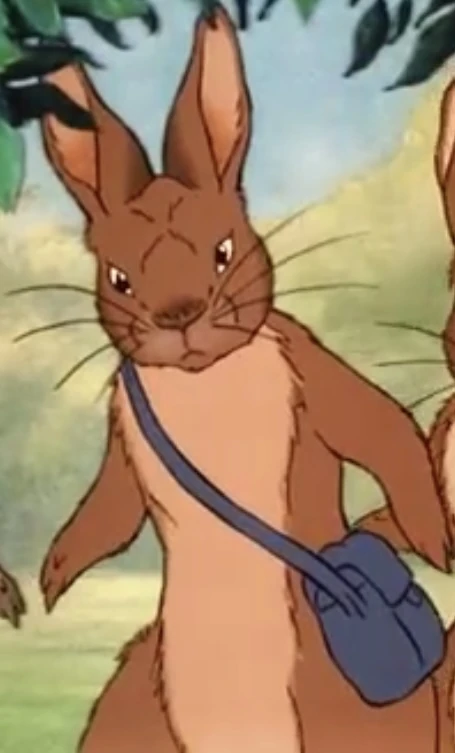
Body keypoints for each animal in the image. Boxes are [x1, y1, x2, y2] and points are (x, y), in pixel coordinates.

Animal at [36, 5, 455, 753]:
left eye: (224, 251)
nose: (179, 315)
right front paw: (54, 577)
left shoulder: (313, 376)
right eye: (118, 278)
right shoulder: (124, 432)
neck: (204, 382)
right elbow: (107, 506)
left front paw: (437, 539)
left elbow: (385, 432)